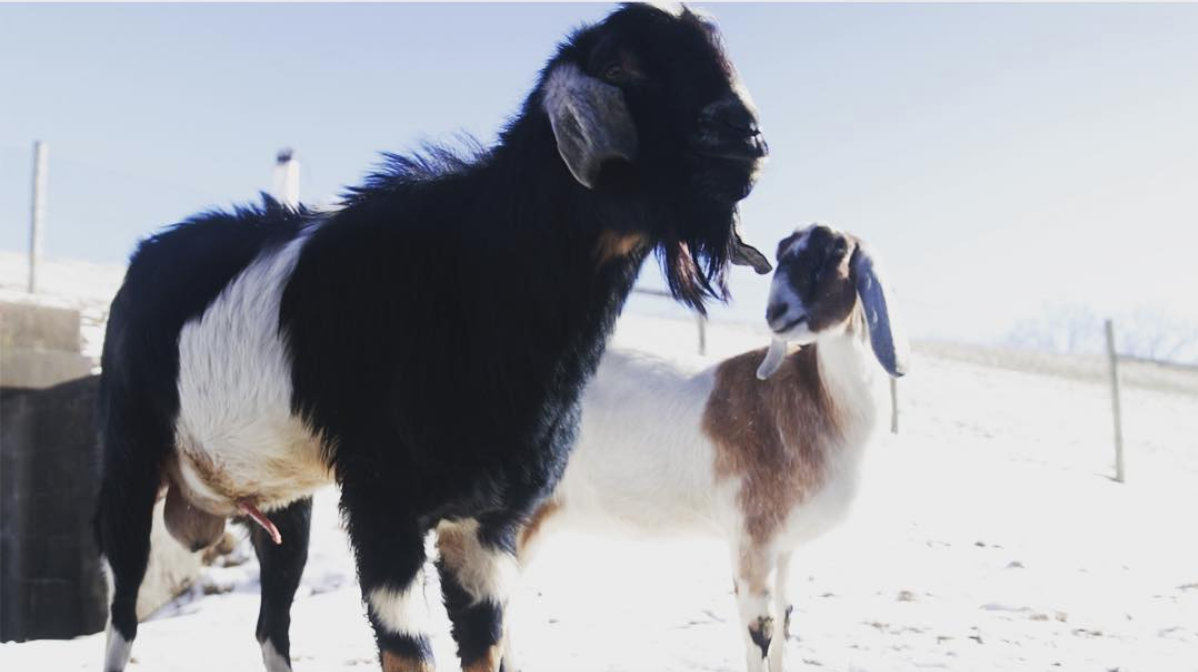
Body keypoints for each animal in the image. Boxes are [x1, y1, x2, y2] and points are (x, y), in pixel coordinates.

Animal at [93, 4, 771, 672]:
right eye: (618, 67)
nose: (748, 138)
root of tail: (144, 260)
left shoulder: (486, 522)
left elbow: (485, 643)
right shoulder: (380, 502)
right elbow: (406, 649)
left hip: (284, 501)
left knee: (270, 625)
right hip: (130, 461)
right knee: (123, 611)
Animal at [512, 224, 908, 672]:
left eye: (836, 253)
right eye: (783, 254)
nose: (777, 312)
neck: (820, 399)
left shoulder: (787, 549)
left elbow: (785, 626)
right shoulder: (753, 542)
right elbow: (761, 634)